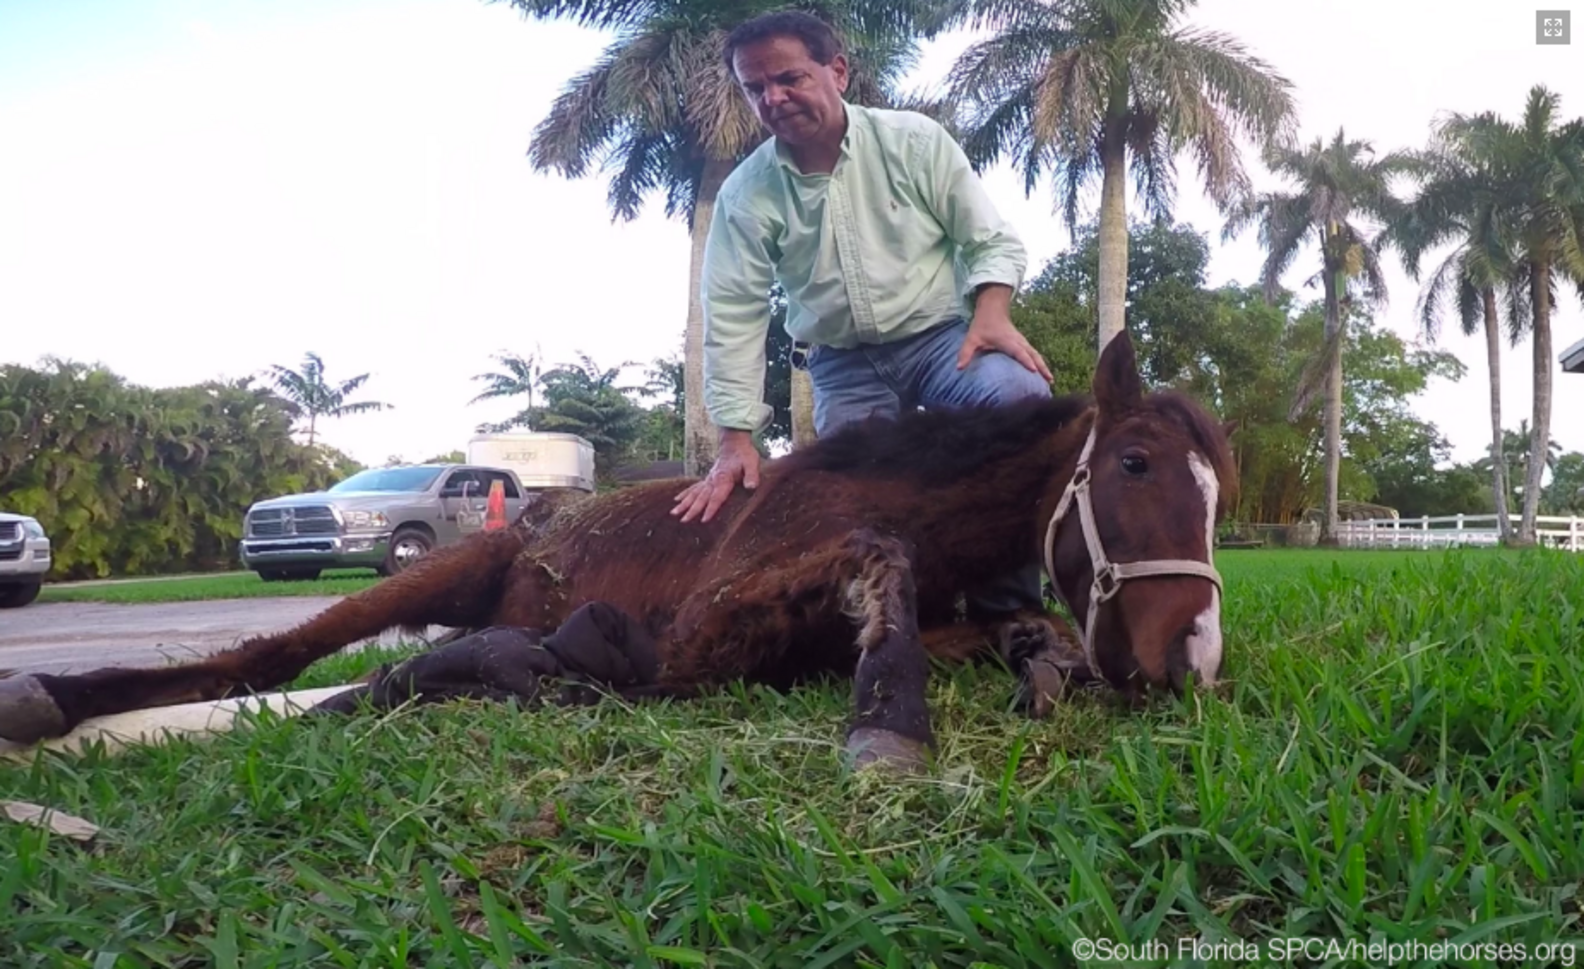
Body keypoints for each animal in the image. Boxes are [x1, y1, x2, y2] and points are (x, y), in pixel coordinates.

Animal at [0, 331, 1237, 771]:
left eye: (1218, 497)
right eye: (1134, 465)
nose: (1191, 664)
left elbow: (1007, 623)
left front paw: (1039, 660)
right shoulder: (706, 625)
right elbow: (879, 559)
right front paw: (889, 718)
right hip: (438, 571)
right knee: (266, 661)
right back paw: (55, 697)